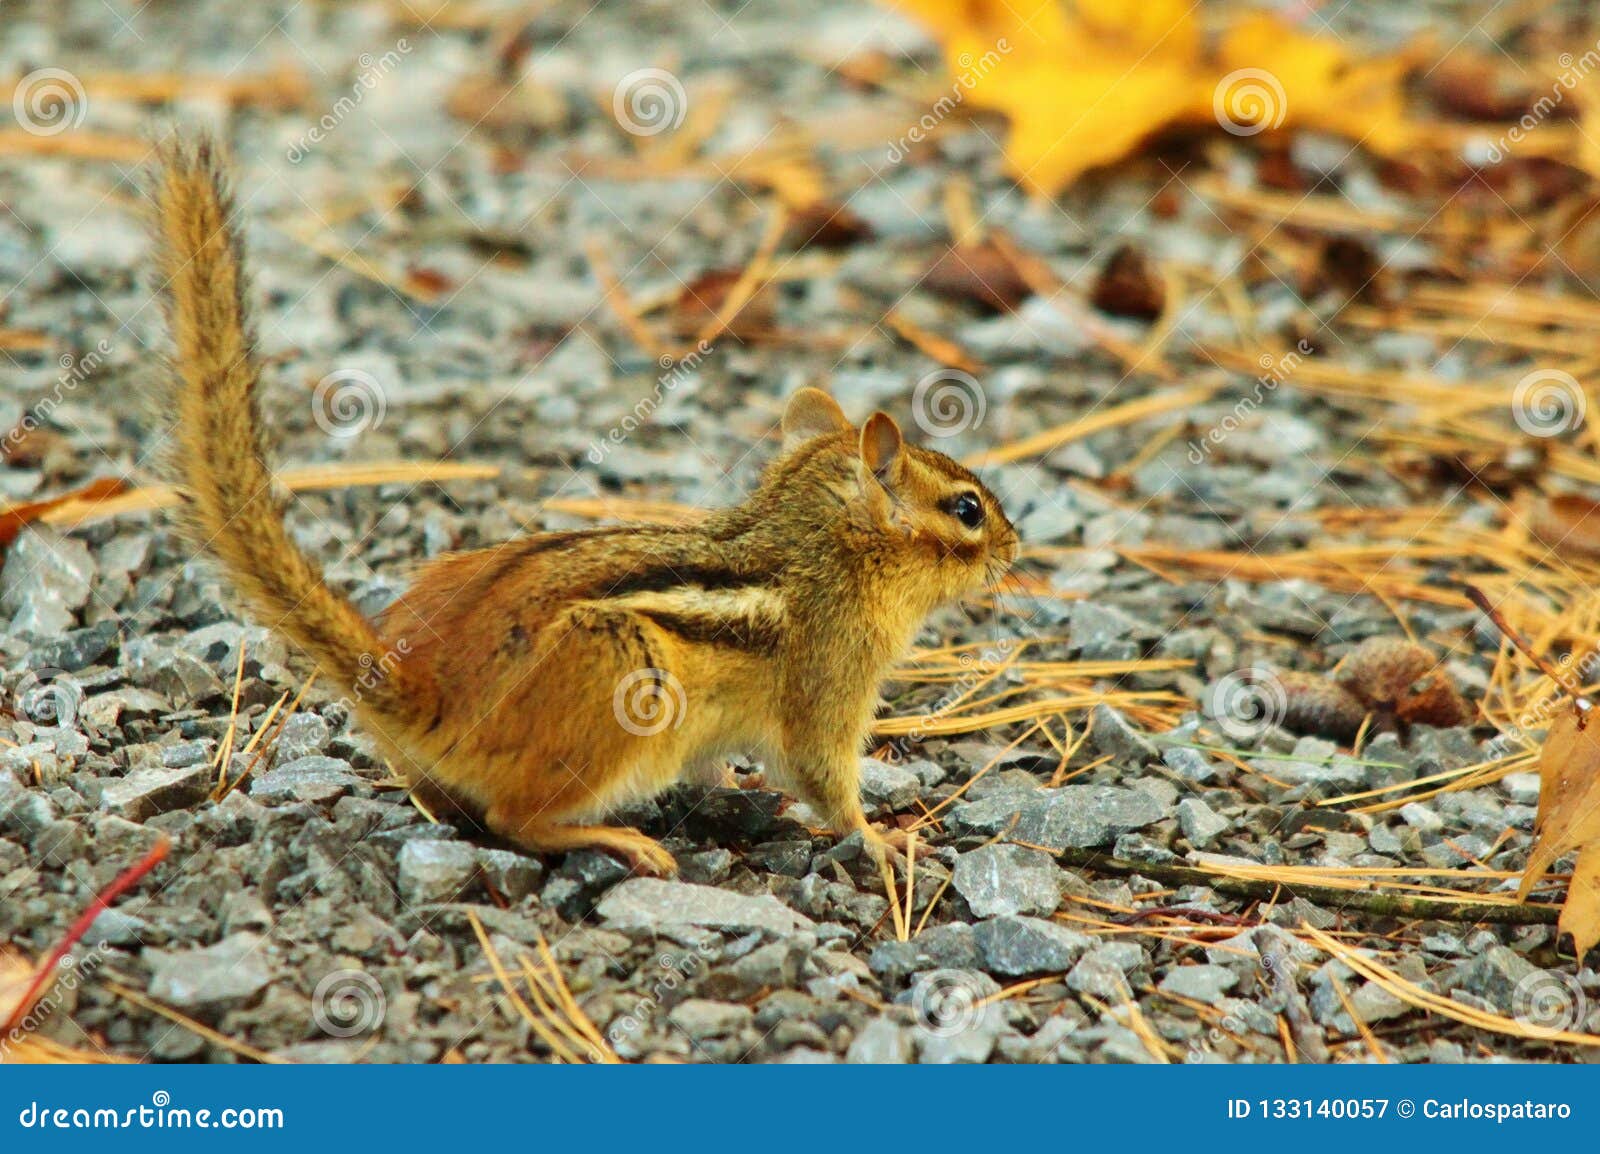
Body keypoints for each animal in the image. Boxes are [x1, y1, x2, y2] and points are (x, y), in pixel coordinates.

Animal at [149, 137, 1019, 876]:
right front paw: (883, 838)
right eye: (968, 510)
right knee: (517, 819)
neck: (820, 552)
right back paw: (622, 841)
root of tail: (427, 693)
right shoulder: (828, 684)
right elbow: (827, 780)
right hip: (623, 675)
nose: (1017, 545)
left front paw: (741, 789)